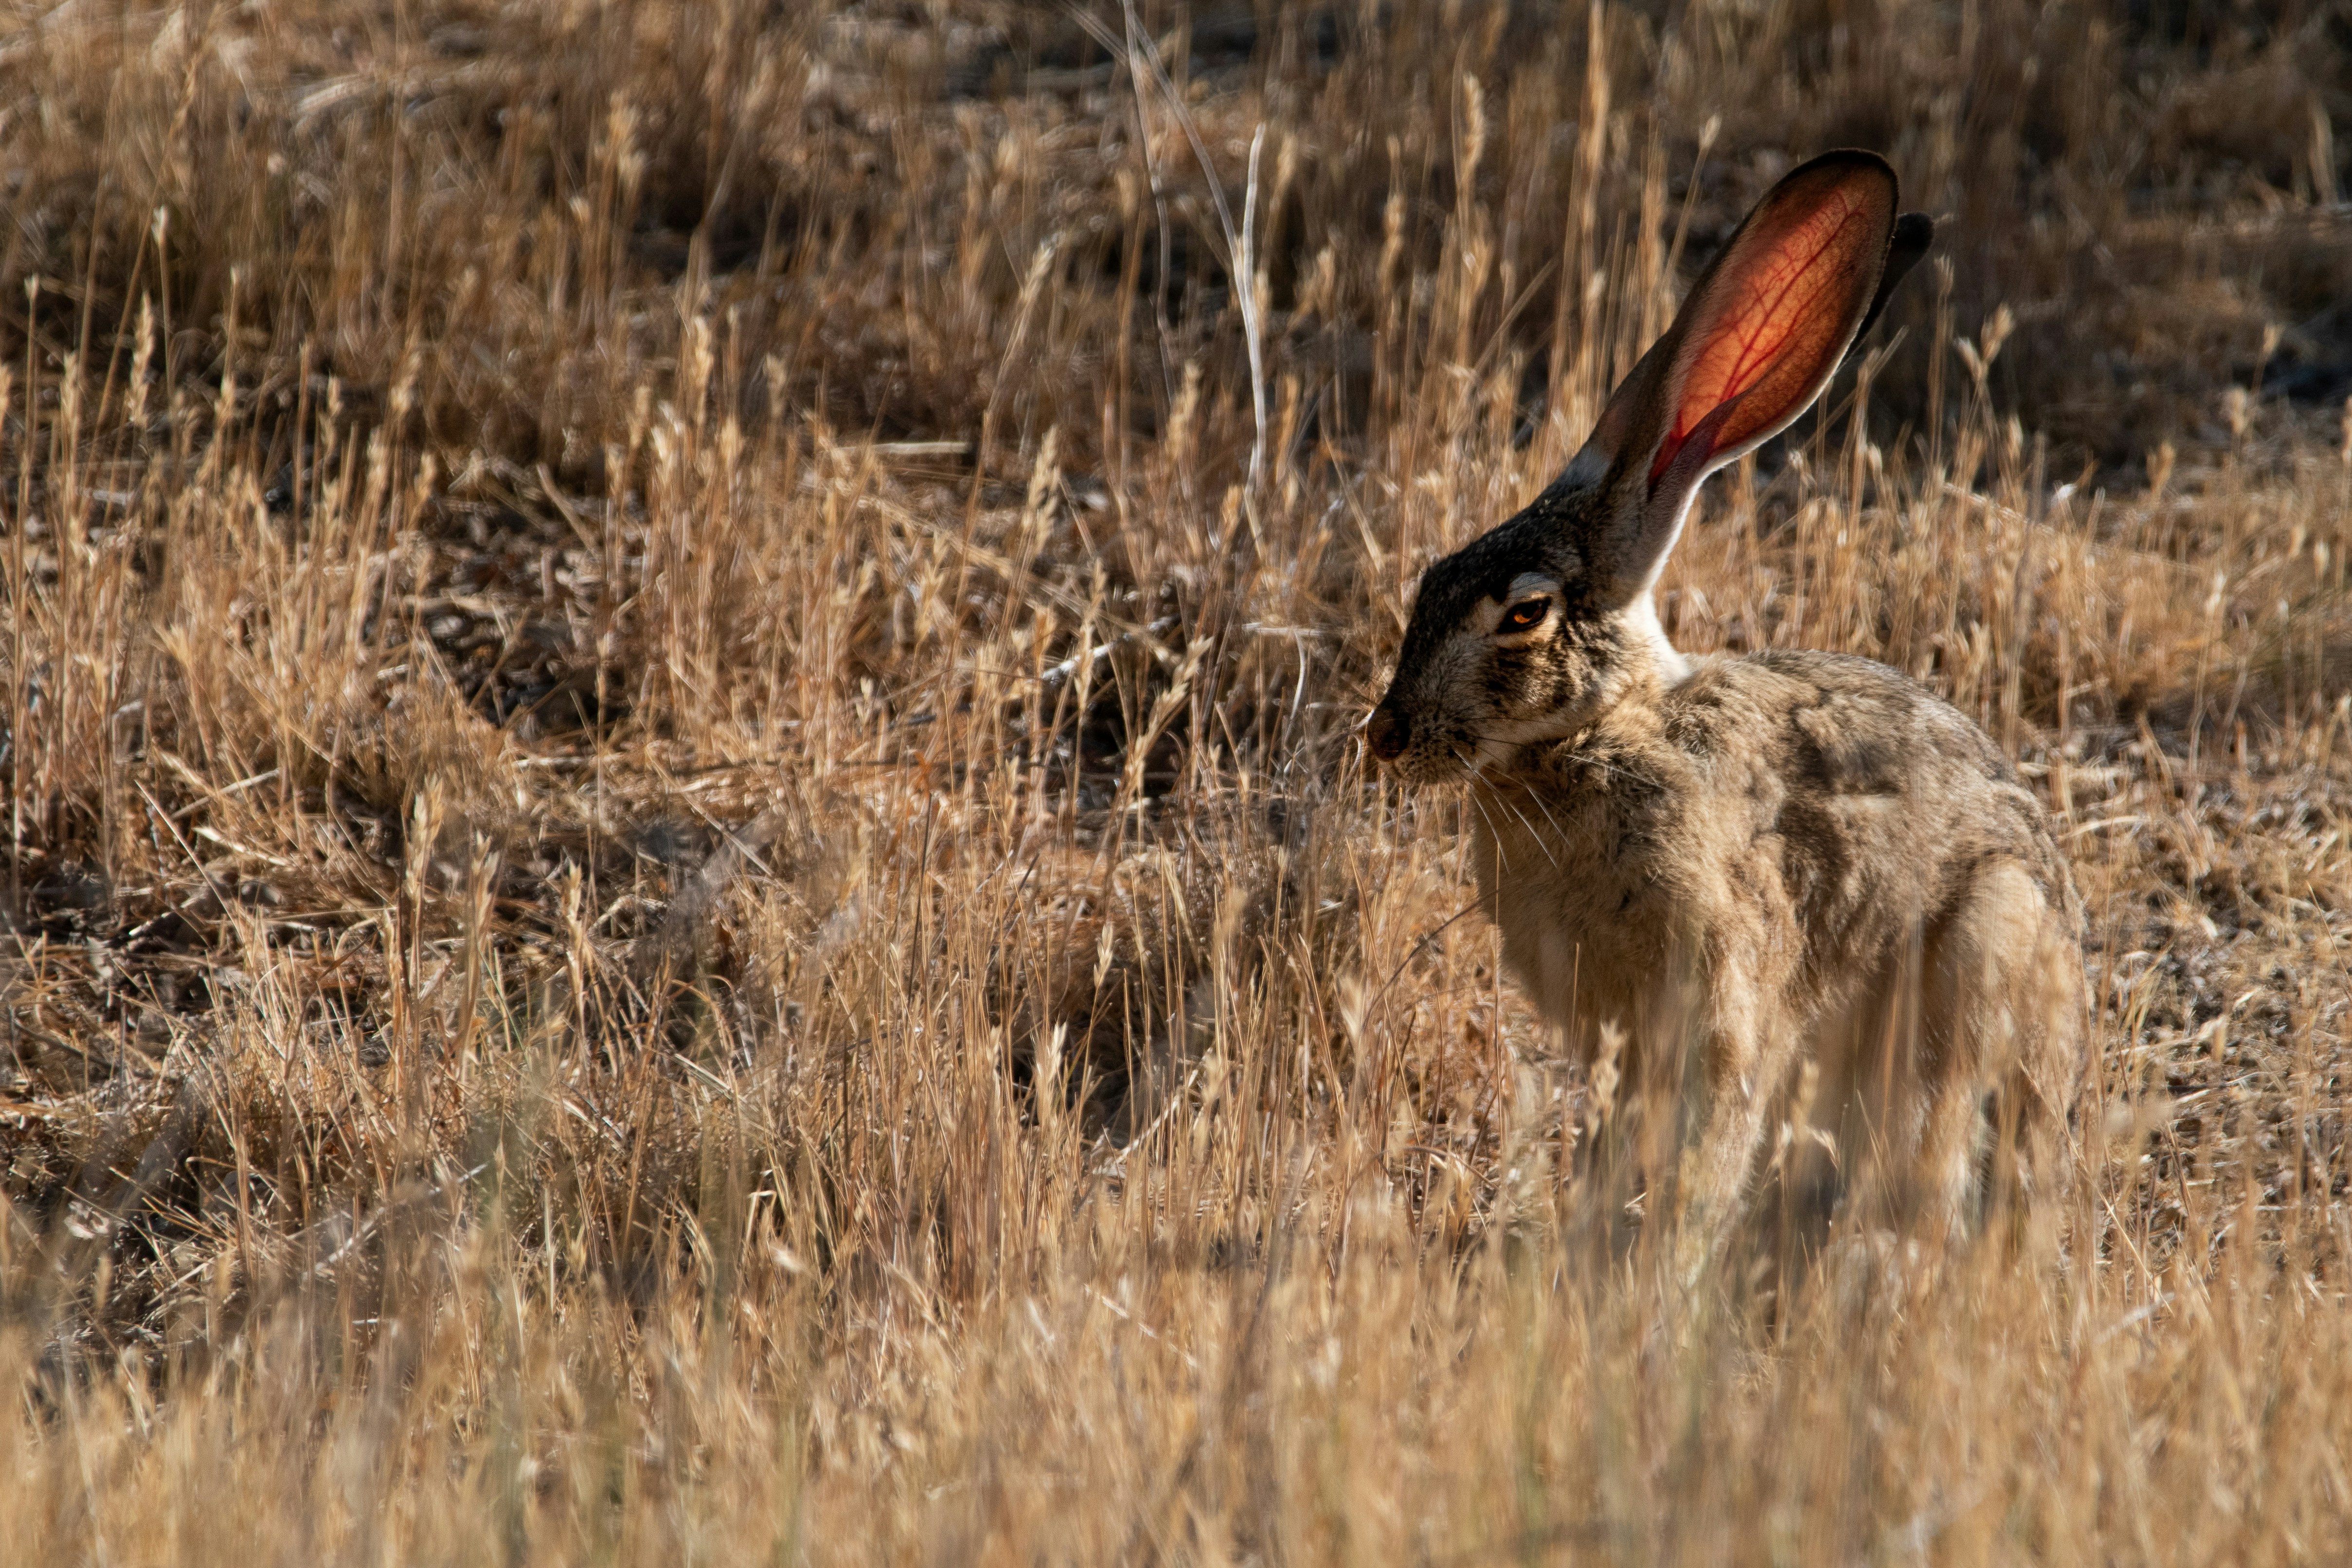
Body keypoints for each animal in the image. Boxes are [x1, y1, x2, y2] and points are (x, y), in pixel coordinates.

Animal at [1364, 151, 2086, 1267]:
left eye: (1524, 613)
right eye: (1432, 578)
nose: (1384, 736)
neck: (1600, 733)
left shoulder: (1719, 1002)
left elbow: (1714, 1135)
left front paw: (1662, 1263)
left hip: (1974, 965)